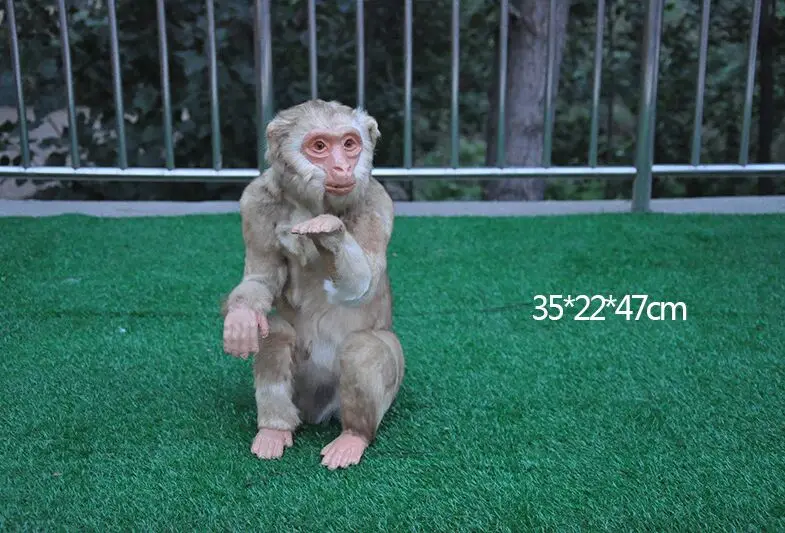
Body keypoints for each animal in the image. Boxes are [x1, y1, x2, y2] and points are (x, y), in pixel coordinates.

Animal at [221, 99, 404, 470]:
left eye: (348, 144)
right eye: (319, 146)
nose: (341, 166)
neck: (309, 203)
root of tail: (320, 412)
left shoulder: (376, 201)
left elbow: (363, 284)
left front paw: (329, 230)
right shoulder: (255, 201)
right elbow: (260, 278)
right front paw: (241, 316)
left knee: (364, 349)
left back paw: (354, 437)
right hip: (302, 395)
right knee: (275, 334)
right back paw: (275, 429)